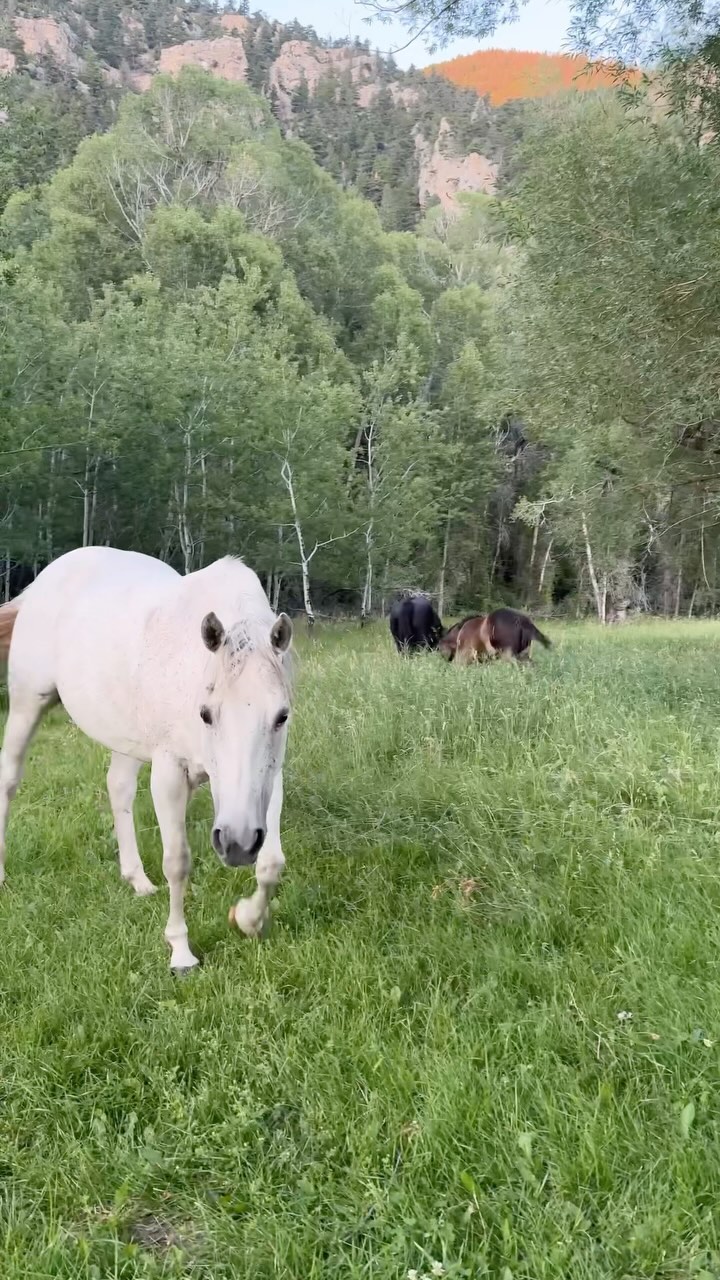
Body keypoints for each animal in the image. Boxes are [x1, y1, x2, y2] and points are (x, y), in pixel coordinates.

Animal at [0, 547, 294, 972]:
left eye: (281, 716)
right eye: (206, 714)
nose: (236, 844)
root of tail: (41, 582)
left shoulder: (269, 779)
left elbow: (271, 863)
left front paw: (246, 919)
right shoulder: (169, 772)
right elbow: (177, 861)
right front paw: (181, 952)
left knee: (118, 788)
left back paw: (137, 879)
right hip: (27, 704)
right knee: (9, 778)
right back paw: (1, 872)